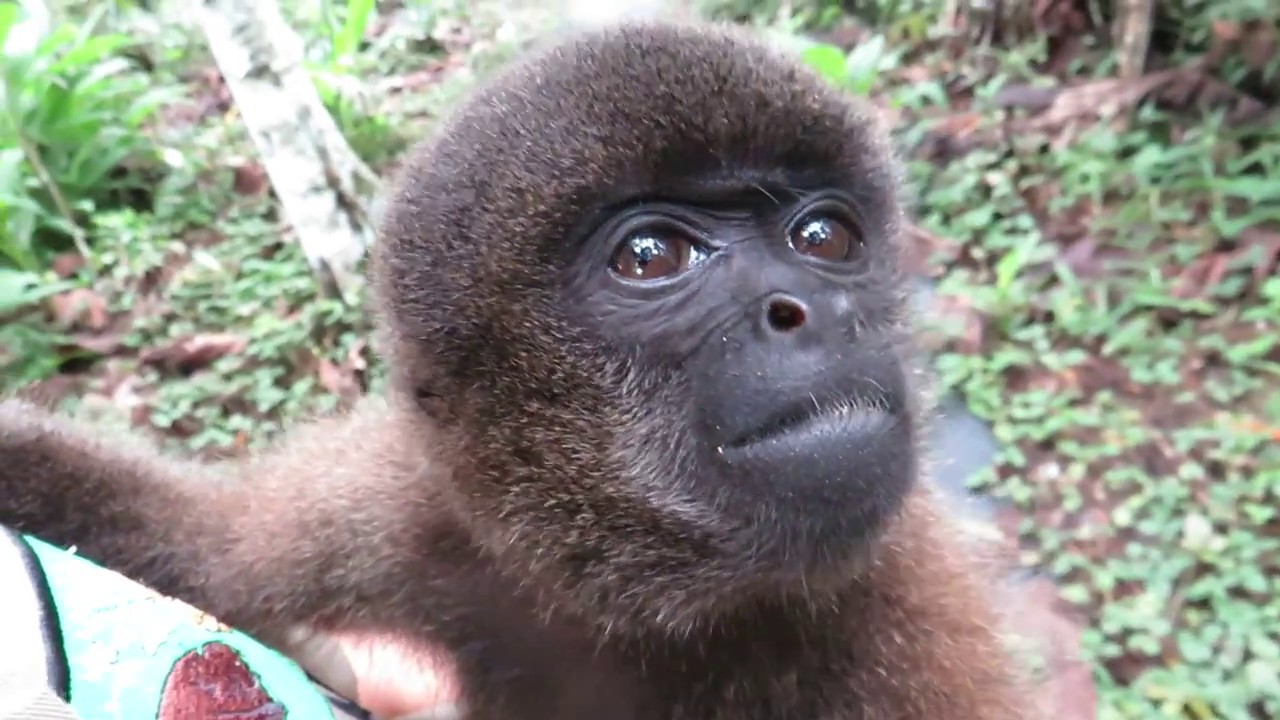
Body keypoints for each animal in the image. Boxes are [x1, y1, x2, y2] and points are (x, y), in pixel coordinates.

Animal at [0, 20, 1038, 720]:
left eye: (824, 238)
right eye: (651, 256)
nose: (808, 308)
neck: (615, 598)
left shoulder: (899, 635)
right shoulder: (371, 519)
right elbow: (188, 549)